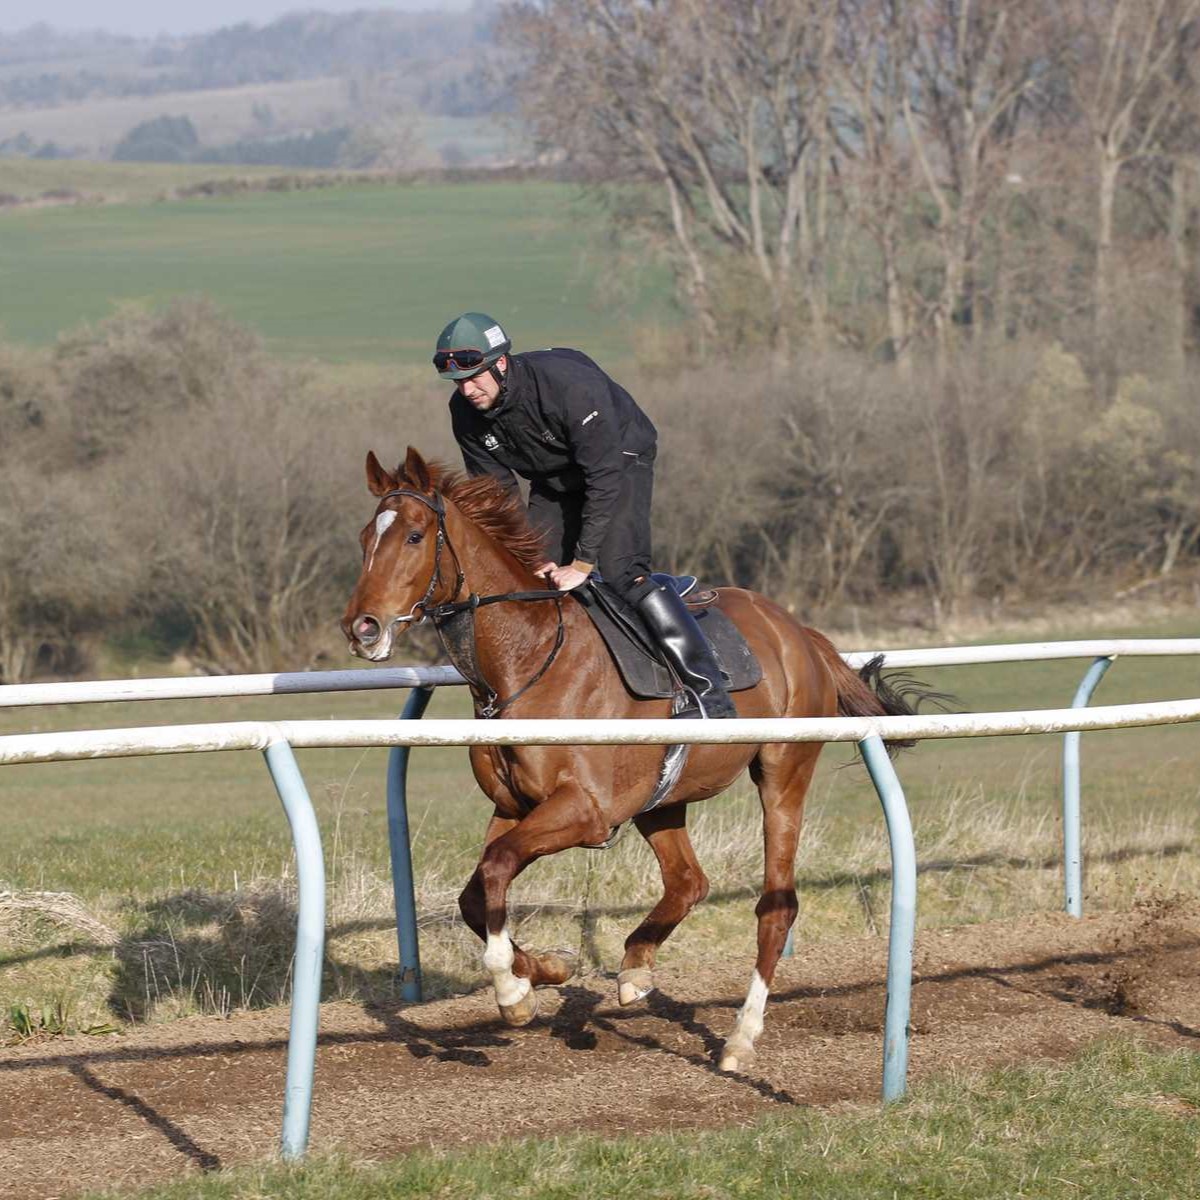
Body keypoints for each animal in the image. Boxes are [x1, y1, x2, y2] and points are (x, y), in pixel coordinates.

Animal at [342, 446, 923, 1072]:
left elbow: (495, 869)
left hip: (783, 772)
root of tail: (801, 633)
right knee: (689, 881)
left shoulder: (585, 811)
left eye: (414, 536)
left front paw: (511, 991)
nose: (362, 627)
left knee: (776, 906)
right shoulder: (515, 806)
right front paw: (545, 969)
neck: (528, 659)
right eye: (364, 537)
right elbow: (476, 895)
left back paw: (741, 1036)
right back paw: (636, 968)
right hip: (661, 797)